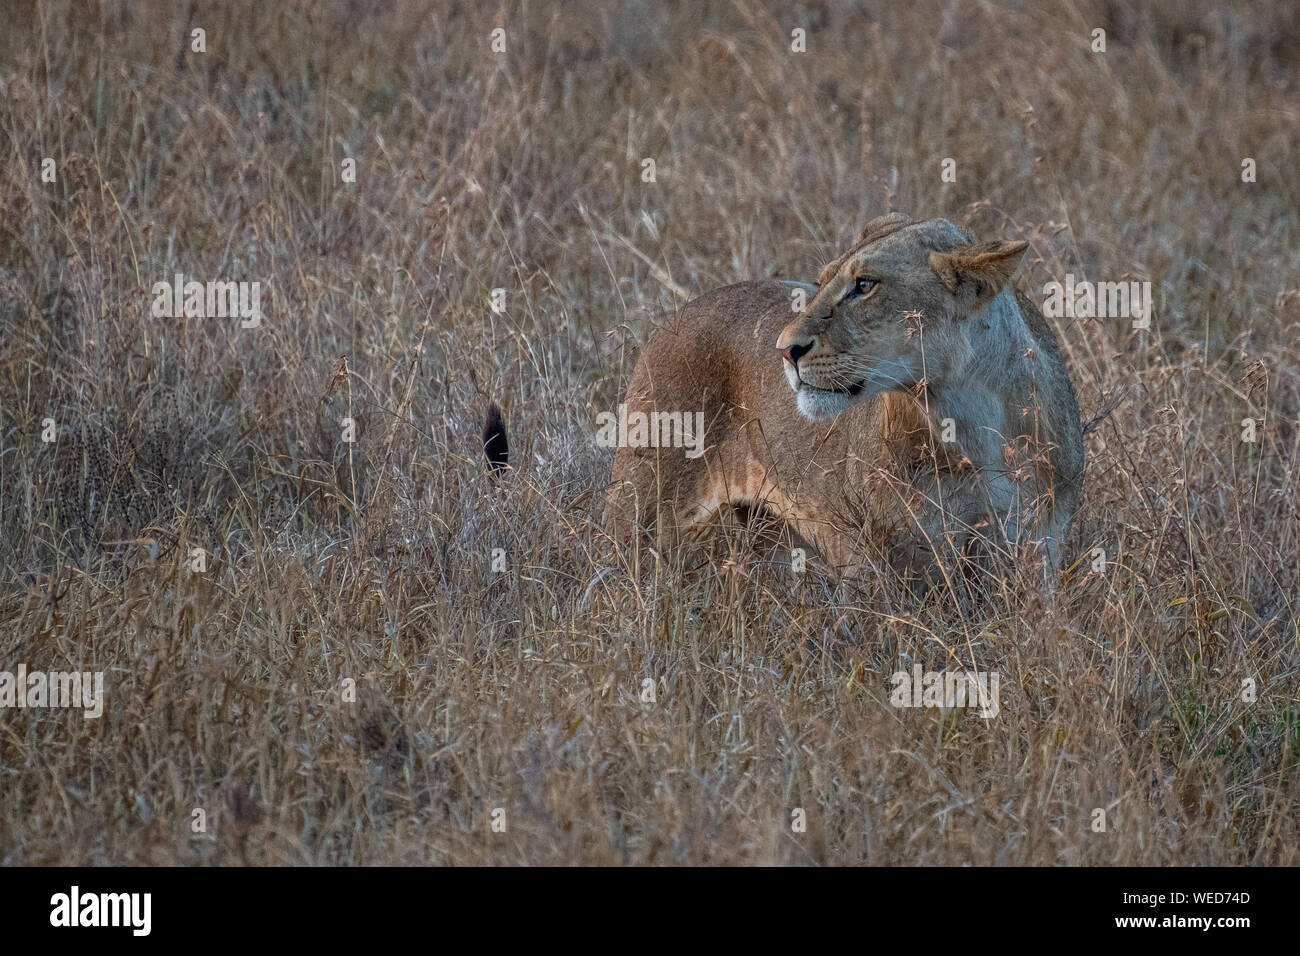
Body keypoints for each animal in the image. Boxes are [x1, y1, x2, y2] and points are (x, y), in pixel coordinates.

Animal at [604, 213, 1084, 584]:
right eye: (820, 282)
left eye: (865, 284)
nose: (785, 349)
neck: (971, 418)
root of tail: (671, 318)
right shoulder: (875, 558)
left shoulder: (1035, 551)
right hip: (643, 516)